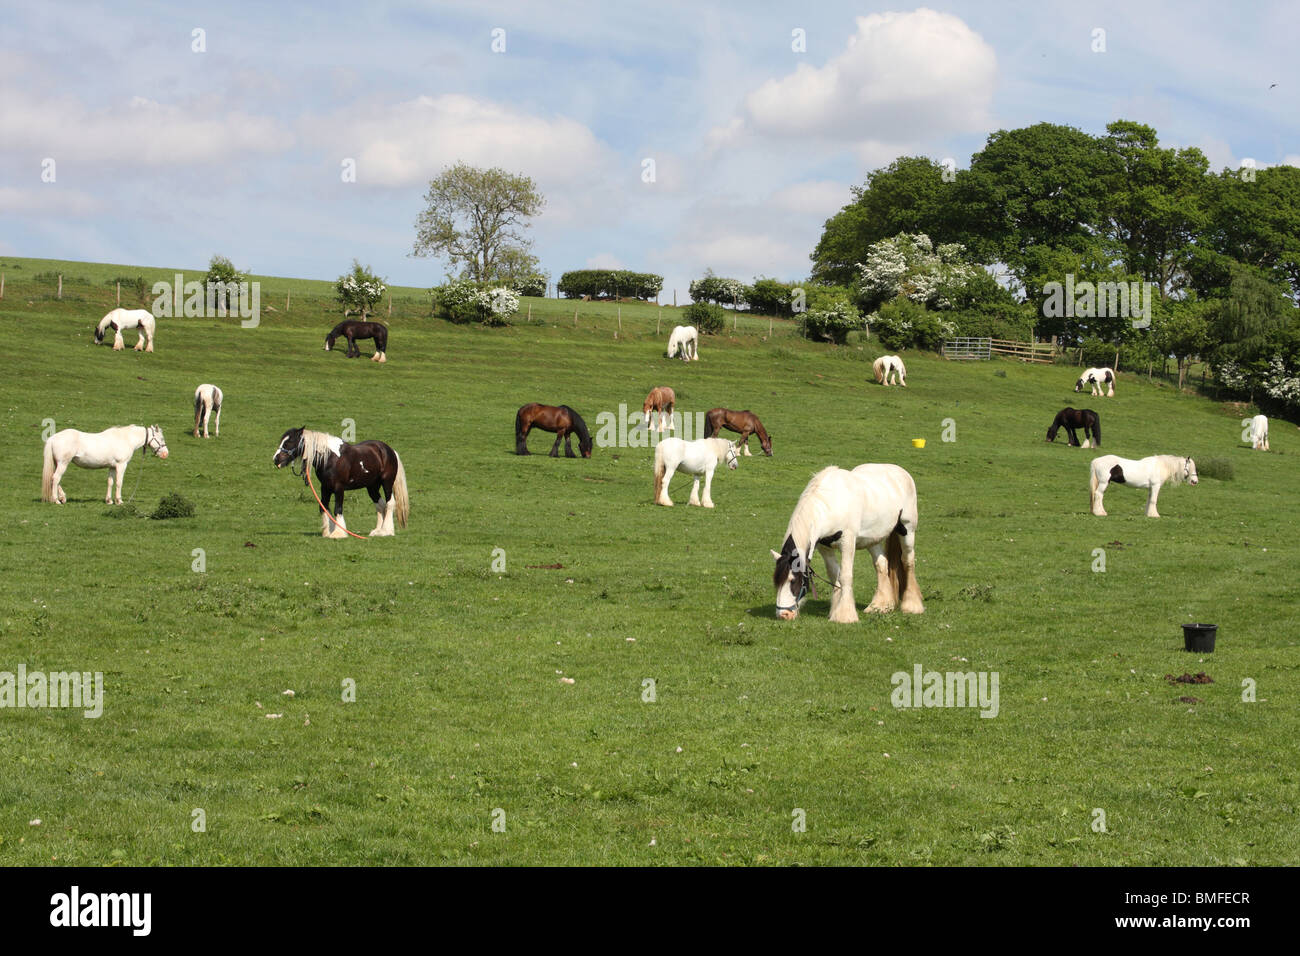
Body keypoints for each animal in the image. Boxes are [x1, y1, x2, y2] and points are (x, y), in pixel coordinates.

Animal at [272, 427, 409, 537]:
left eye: (289, 442)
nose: (276, 459)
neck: (331, 458)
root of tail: (390, 450)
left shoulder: (339, 488)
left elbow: (337, 509)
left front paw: (338, 533)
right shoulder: (325, 488)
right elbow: (324, 507)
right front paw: (328, 532)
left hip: (387, 483)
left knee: (390, 503)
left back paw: (386, 531)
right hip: (372, 486)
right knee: (380, 505)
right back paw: (378, 531)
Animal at [770, 464, 923, 622]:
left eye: (793, 580)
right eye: (776, 582)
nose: (784, 614)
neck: (831, 503)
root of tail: (901, 472)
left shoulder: (847, 542)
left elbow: (845, 575)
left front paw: (845, 615)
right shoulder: (824, 547)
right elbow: (834, 574)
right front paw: (835, 610)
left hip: (907, 530)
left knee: (907, 561)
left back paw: (912, 605)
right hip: (872, 539)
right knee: (881, 564)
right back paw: (880, 606)